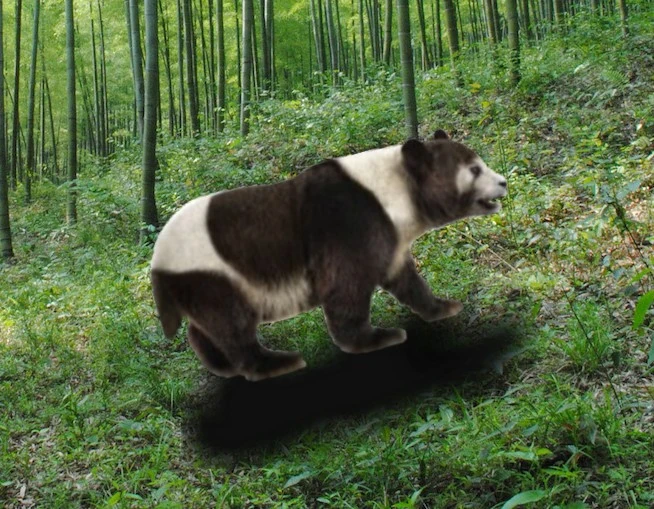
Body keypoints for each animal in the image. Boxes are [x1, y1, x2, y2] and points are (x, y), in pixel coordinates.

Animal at [150, 130, 507, 381]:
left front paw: (444, 306)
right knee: (232, 322)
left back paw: (221, 364)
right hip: (209, 271)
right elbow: (344, 286)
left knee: (207, 326)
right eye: (474, 170)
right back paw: (276, 362)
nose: (503, 182)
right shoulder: (347, 222)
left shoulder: (388, 235)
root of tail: (157, 258)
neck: (393, 189)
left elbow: (405, 278)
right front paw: (379, 337)